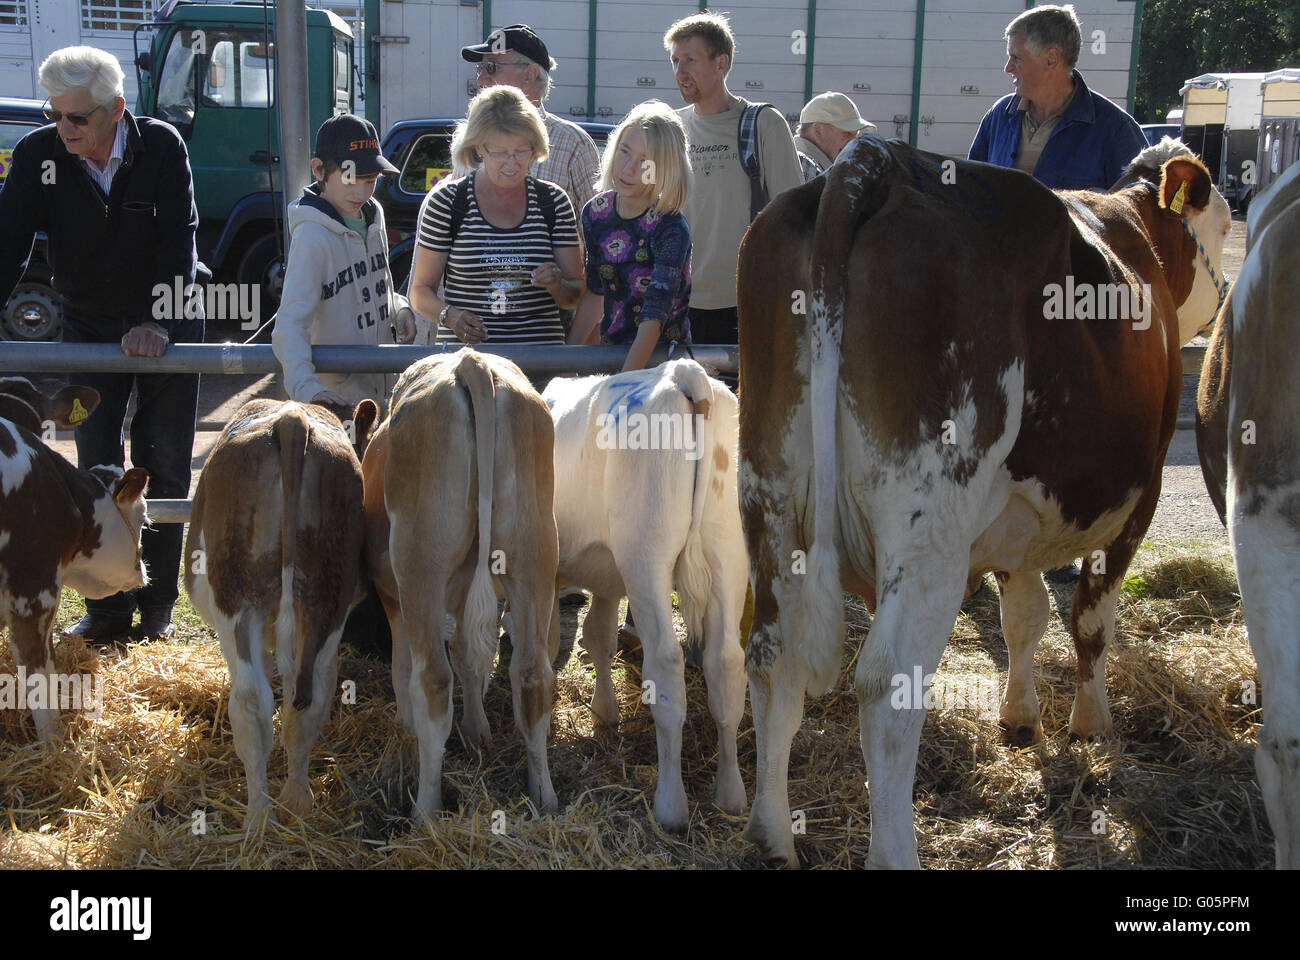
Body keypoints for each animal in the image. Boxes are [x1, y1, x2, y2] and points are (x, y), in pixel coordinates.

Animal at [184, 397, 378, 828]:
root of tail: (292, 418)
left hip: (237, 601)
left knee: (251, 701)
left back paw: (258, 816)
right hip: (327, 598)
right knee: (307, 701)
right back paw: (297, 801)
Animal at [363, 350, 559, 820]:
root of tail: (470, 361)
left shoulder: (392, 592)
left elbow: (405, 667)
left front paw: (409, 728)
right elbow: (469, 656)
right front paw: (476, 730)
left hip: (420, 564)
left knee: (432, 678)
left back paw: (425, 810)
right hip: (534, 554)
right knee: (532, 673)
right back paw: (544, 797)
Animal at [541, 359, 747, 830]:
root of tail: (681, 373)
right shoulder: (606, 575)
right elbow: (599, 636)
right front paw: (605, 712)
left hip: (646, 553)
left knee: (666, 663)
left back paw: (670, 806)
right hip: (727, 551)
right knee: (726, 662)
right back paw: (731, 794)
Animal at [736, 133, 1229, 867]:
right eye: (1222, 224)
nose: (1225, 301)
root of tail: (878, 160)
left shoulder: (1014, 520)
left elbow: (1023, 615)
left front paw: (1021, 716)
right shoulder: (1137, 503)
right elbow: (1089, 619)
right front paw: (1091, 723)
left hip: (767, 500)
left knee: (772, 659)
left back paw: (771, 837)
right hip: (929, 526)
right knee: (887, 684)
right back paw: (895, 853)